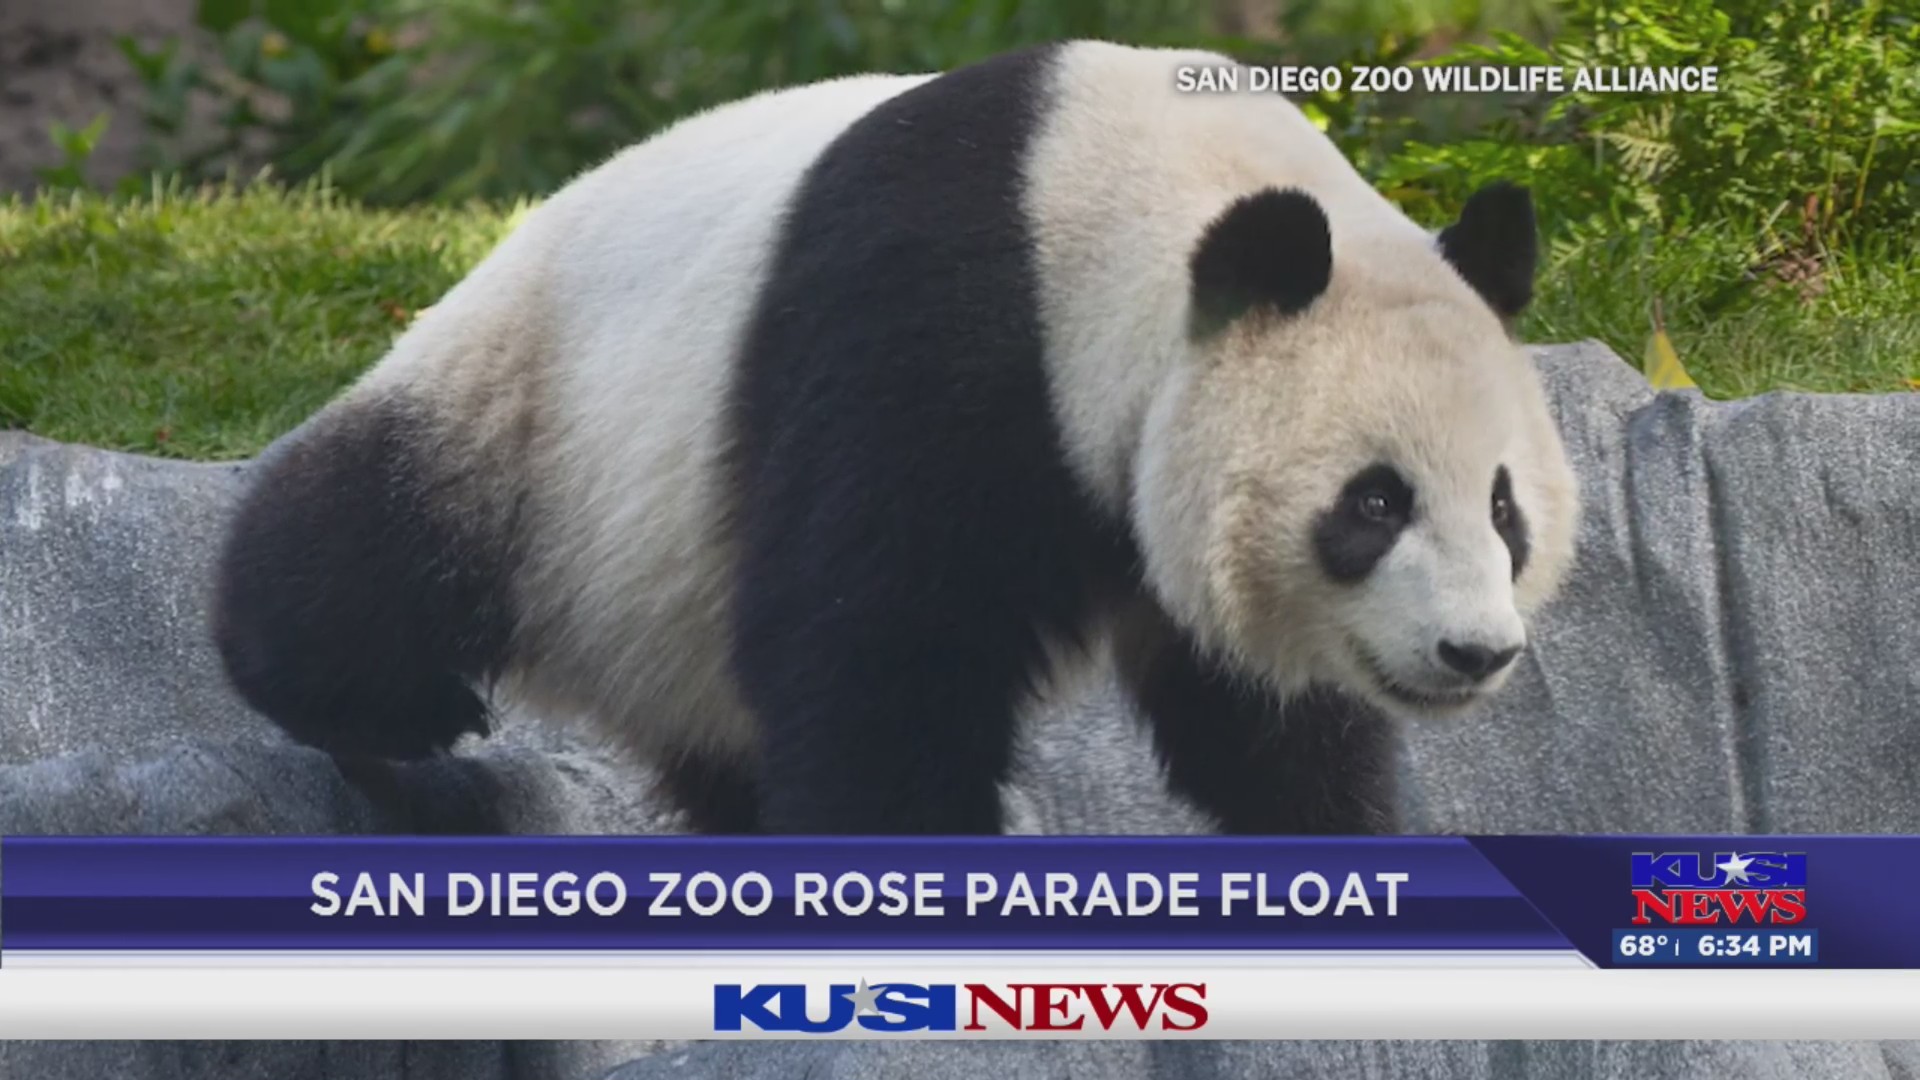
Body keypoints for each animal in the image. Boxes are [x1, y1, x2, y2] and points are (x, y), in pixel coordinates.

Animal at [210, 40, 1580, 837]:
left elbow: (1256, 712)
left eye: (1504, 508)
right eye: (1374, 503)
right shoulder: (935, 332)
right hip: (541, 420)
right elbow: (879, 640)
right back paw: (395, 711)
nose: (1473, 653)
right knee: (362, 550)